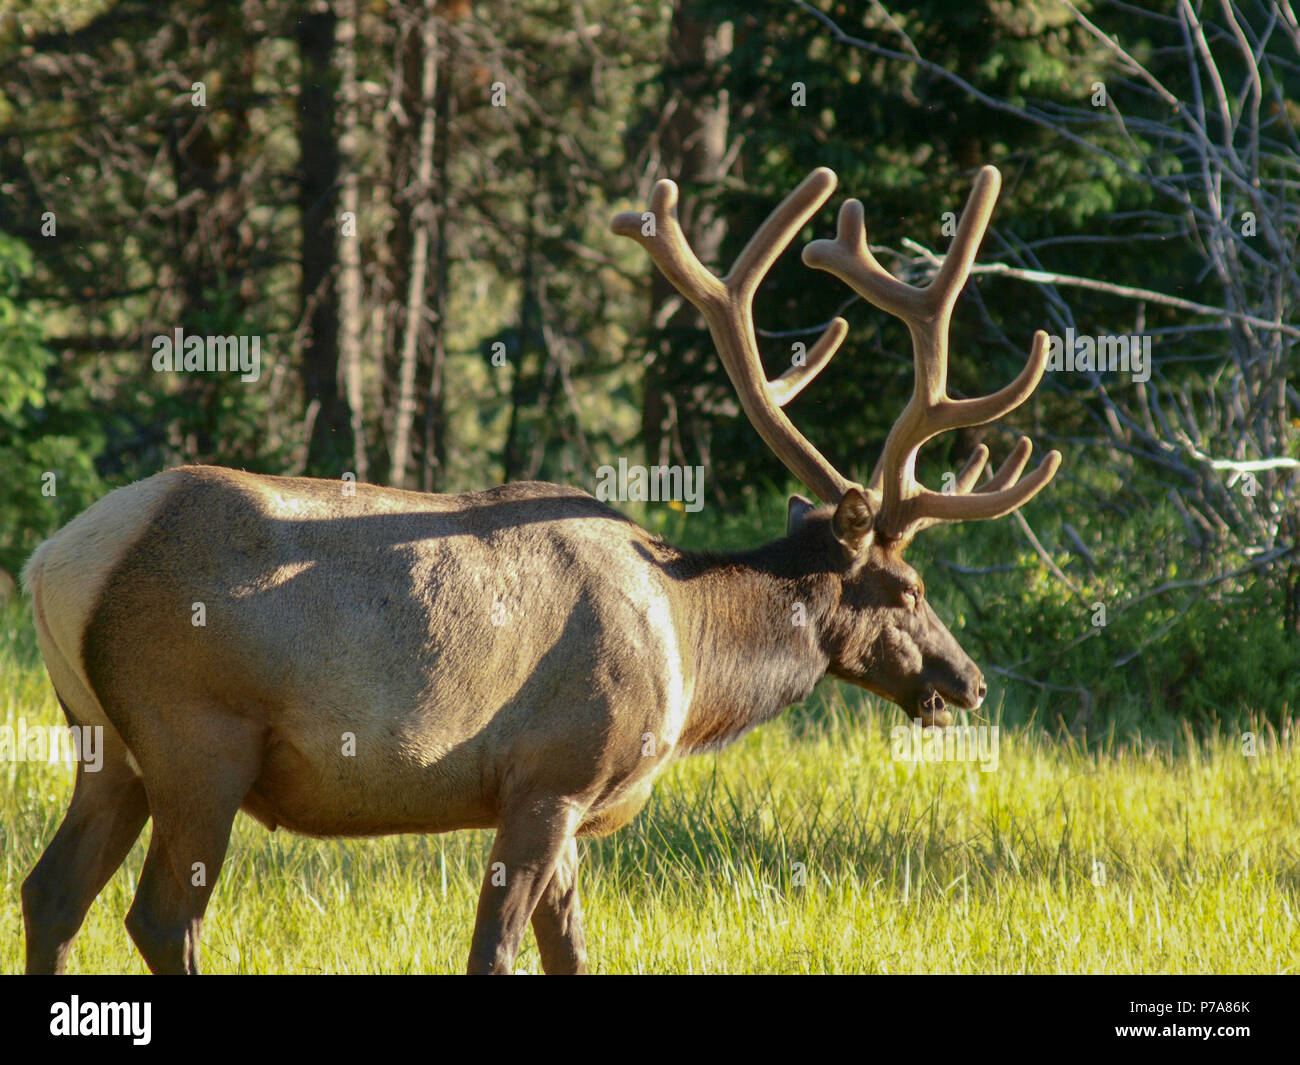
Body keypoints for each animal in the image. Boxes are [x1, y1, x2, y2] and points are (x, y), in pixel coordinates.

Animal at [20, 163, 1058, 975]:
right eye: (909, 587)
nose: (967, 681)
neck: (693, 653)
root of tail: (52, 563)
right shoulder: (553, 776)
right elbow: (494, 950)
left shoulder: (569, 812)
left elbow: (571, 953)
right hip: (198, 737)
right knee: (162, 919)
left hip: (103, 743)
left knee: (47, 894)